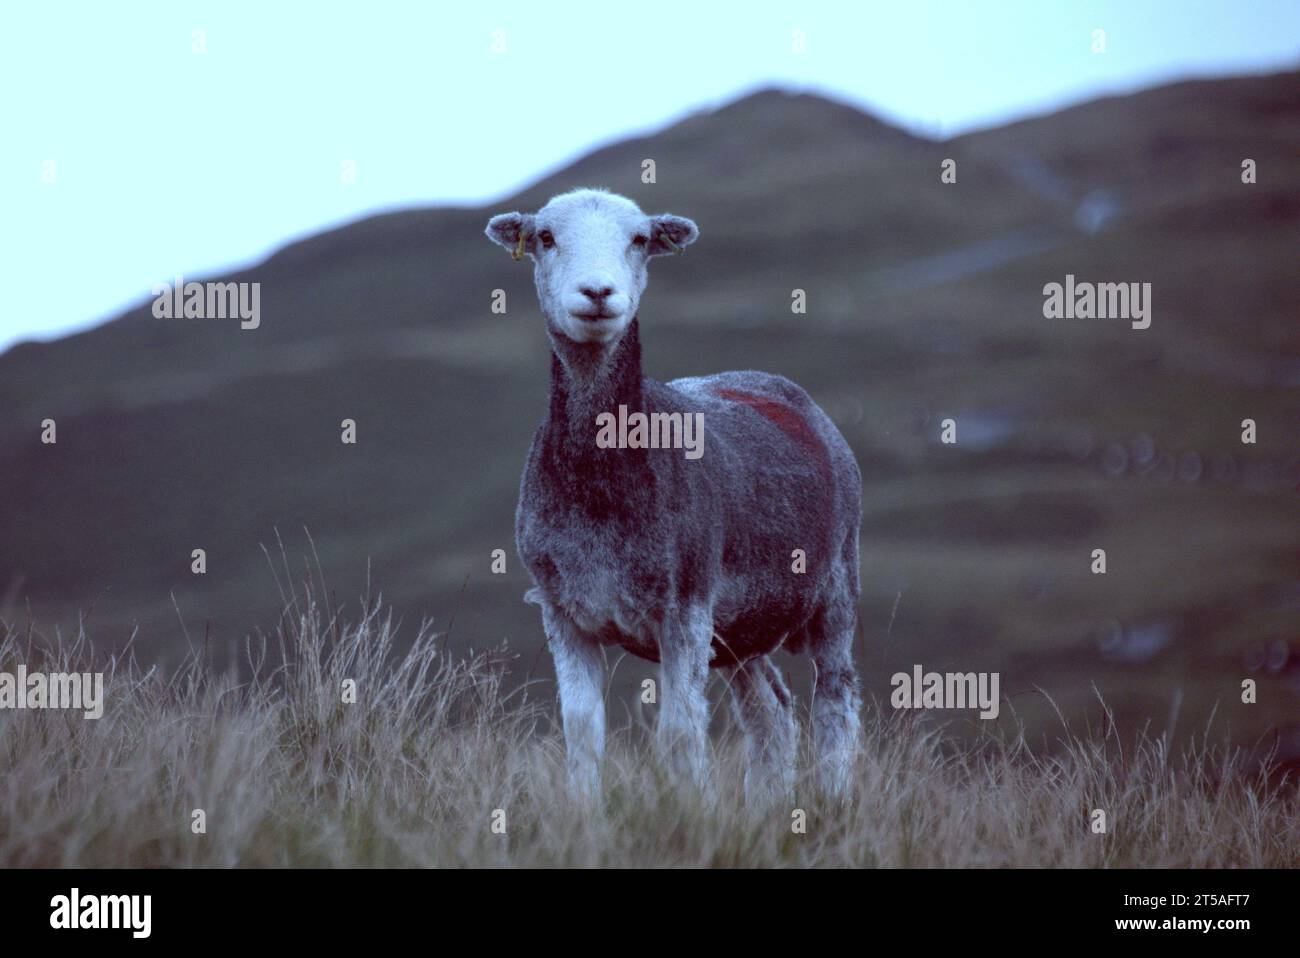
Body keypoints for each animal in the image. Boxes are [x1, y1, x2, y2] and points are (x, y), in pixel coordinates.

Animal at [485, 188, 862, 800]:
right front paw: (585, 813)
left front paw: (690, 810)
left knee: (836, 702)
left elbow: (681, 734)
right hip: (740, 626)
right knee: (772, 713)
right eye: (545, 236)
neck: (602, 485)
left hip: (835, 587)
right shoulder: (563, 611)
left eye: (639, 239)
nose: (597, 292)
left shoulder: (685, 607)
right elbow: (583, 733)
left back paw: (834, 800)